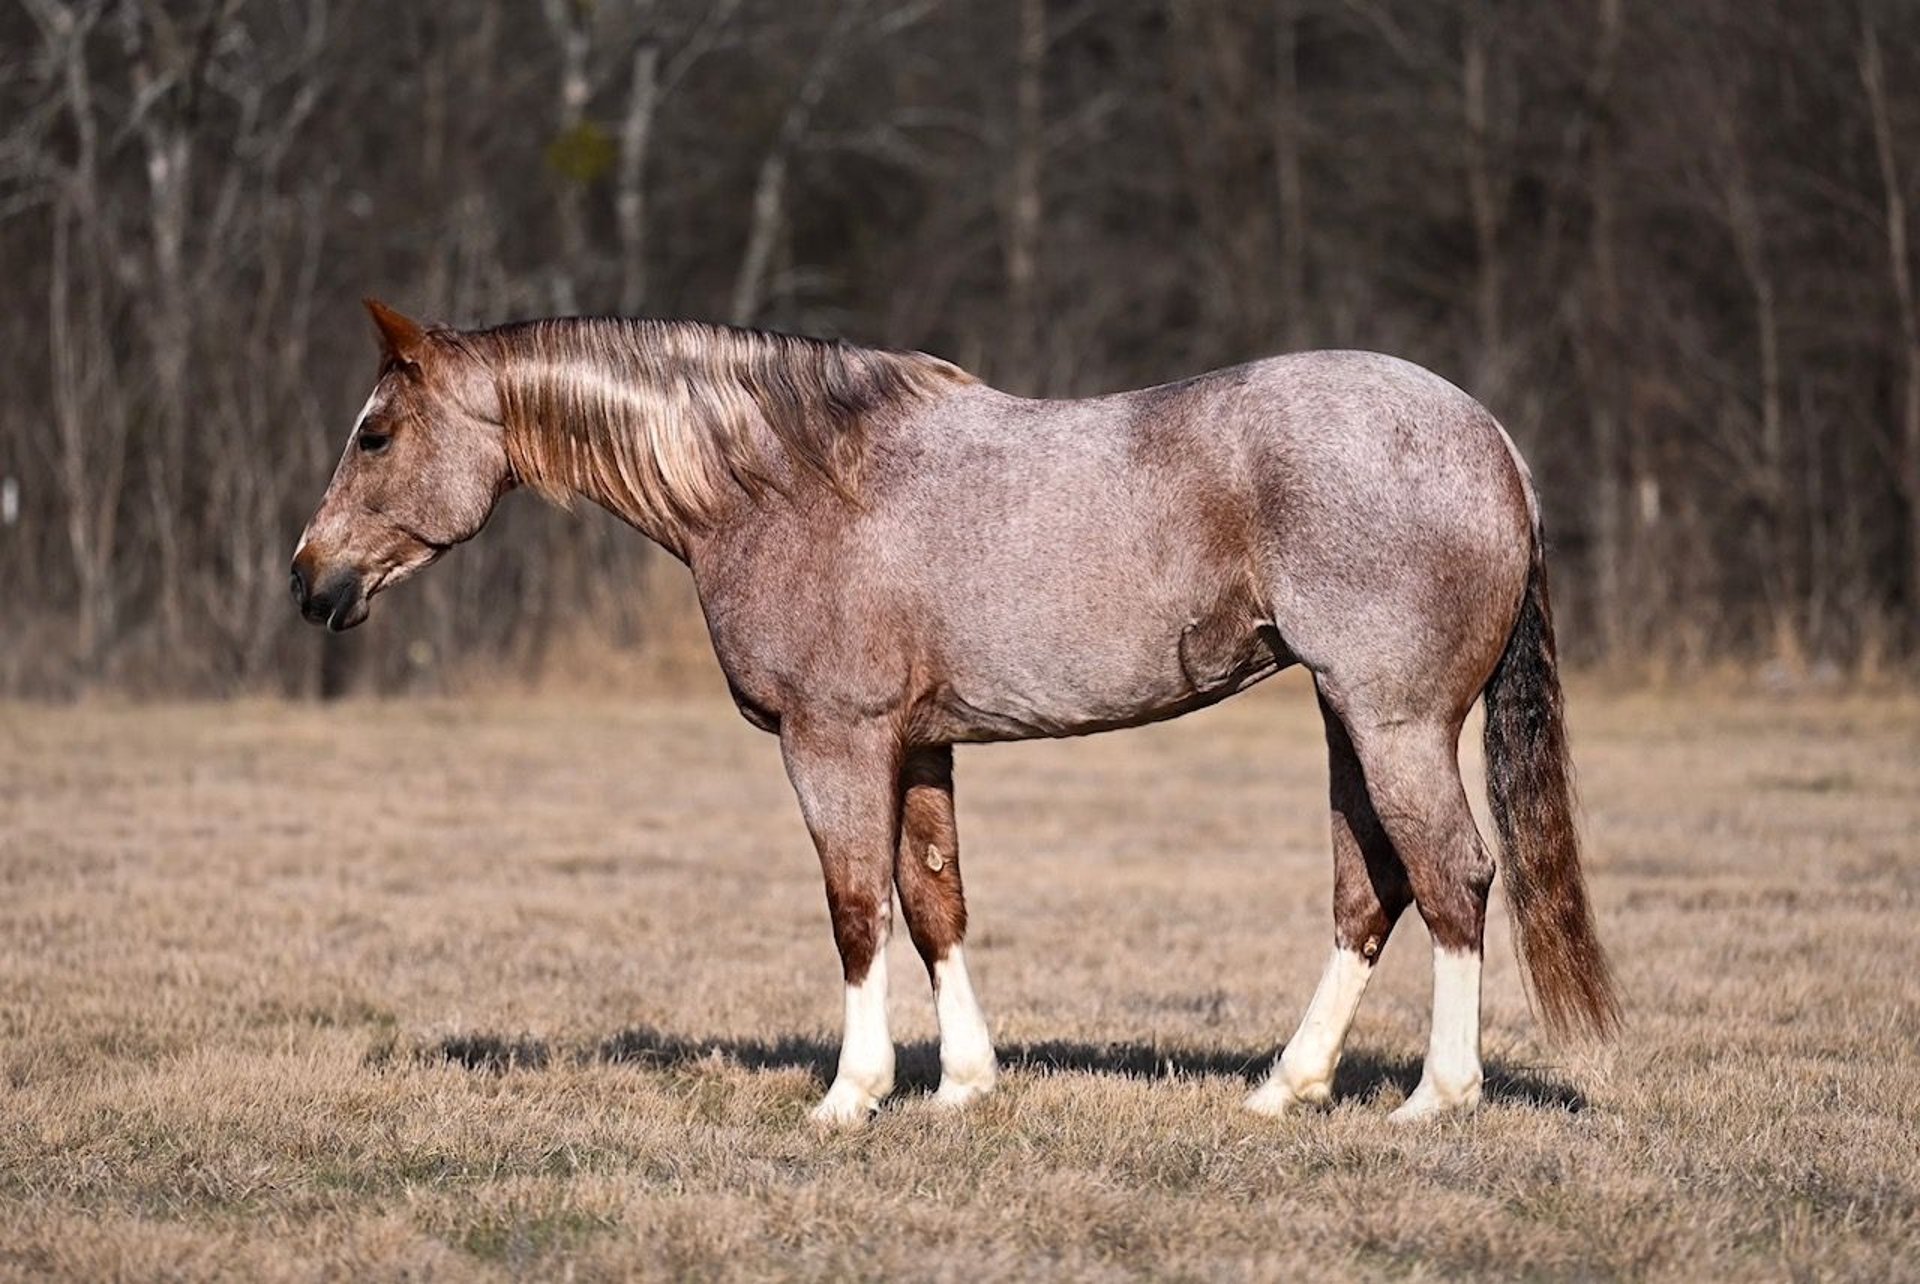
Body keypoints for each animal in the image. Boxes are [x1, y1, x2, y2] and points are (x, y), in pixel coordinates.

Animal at [292, 299, 1618, 1125]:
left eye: (375, 433)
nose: (311, 580)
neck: (783, 482)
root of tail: (1492, 442)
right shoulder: (921, 743)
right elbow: (935, 903)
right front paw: (964, 1082)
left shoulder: (835, 741)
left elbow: (856, 911)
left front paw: (852, 1093)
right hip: (1352, 722)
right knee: (1373, 890)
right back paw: (1284, 1088)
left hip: (1392, 721)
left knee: (1453, 878)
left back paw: (1436, 1097)